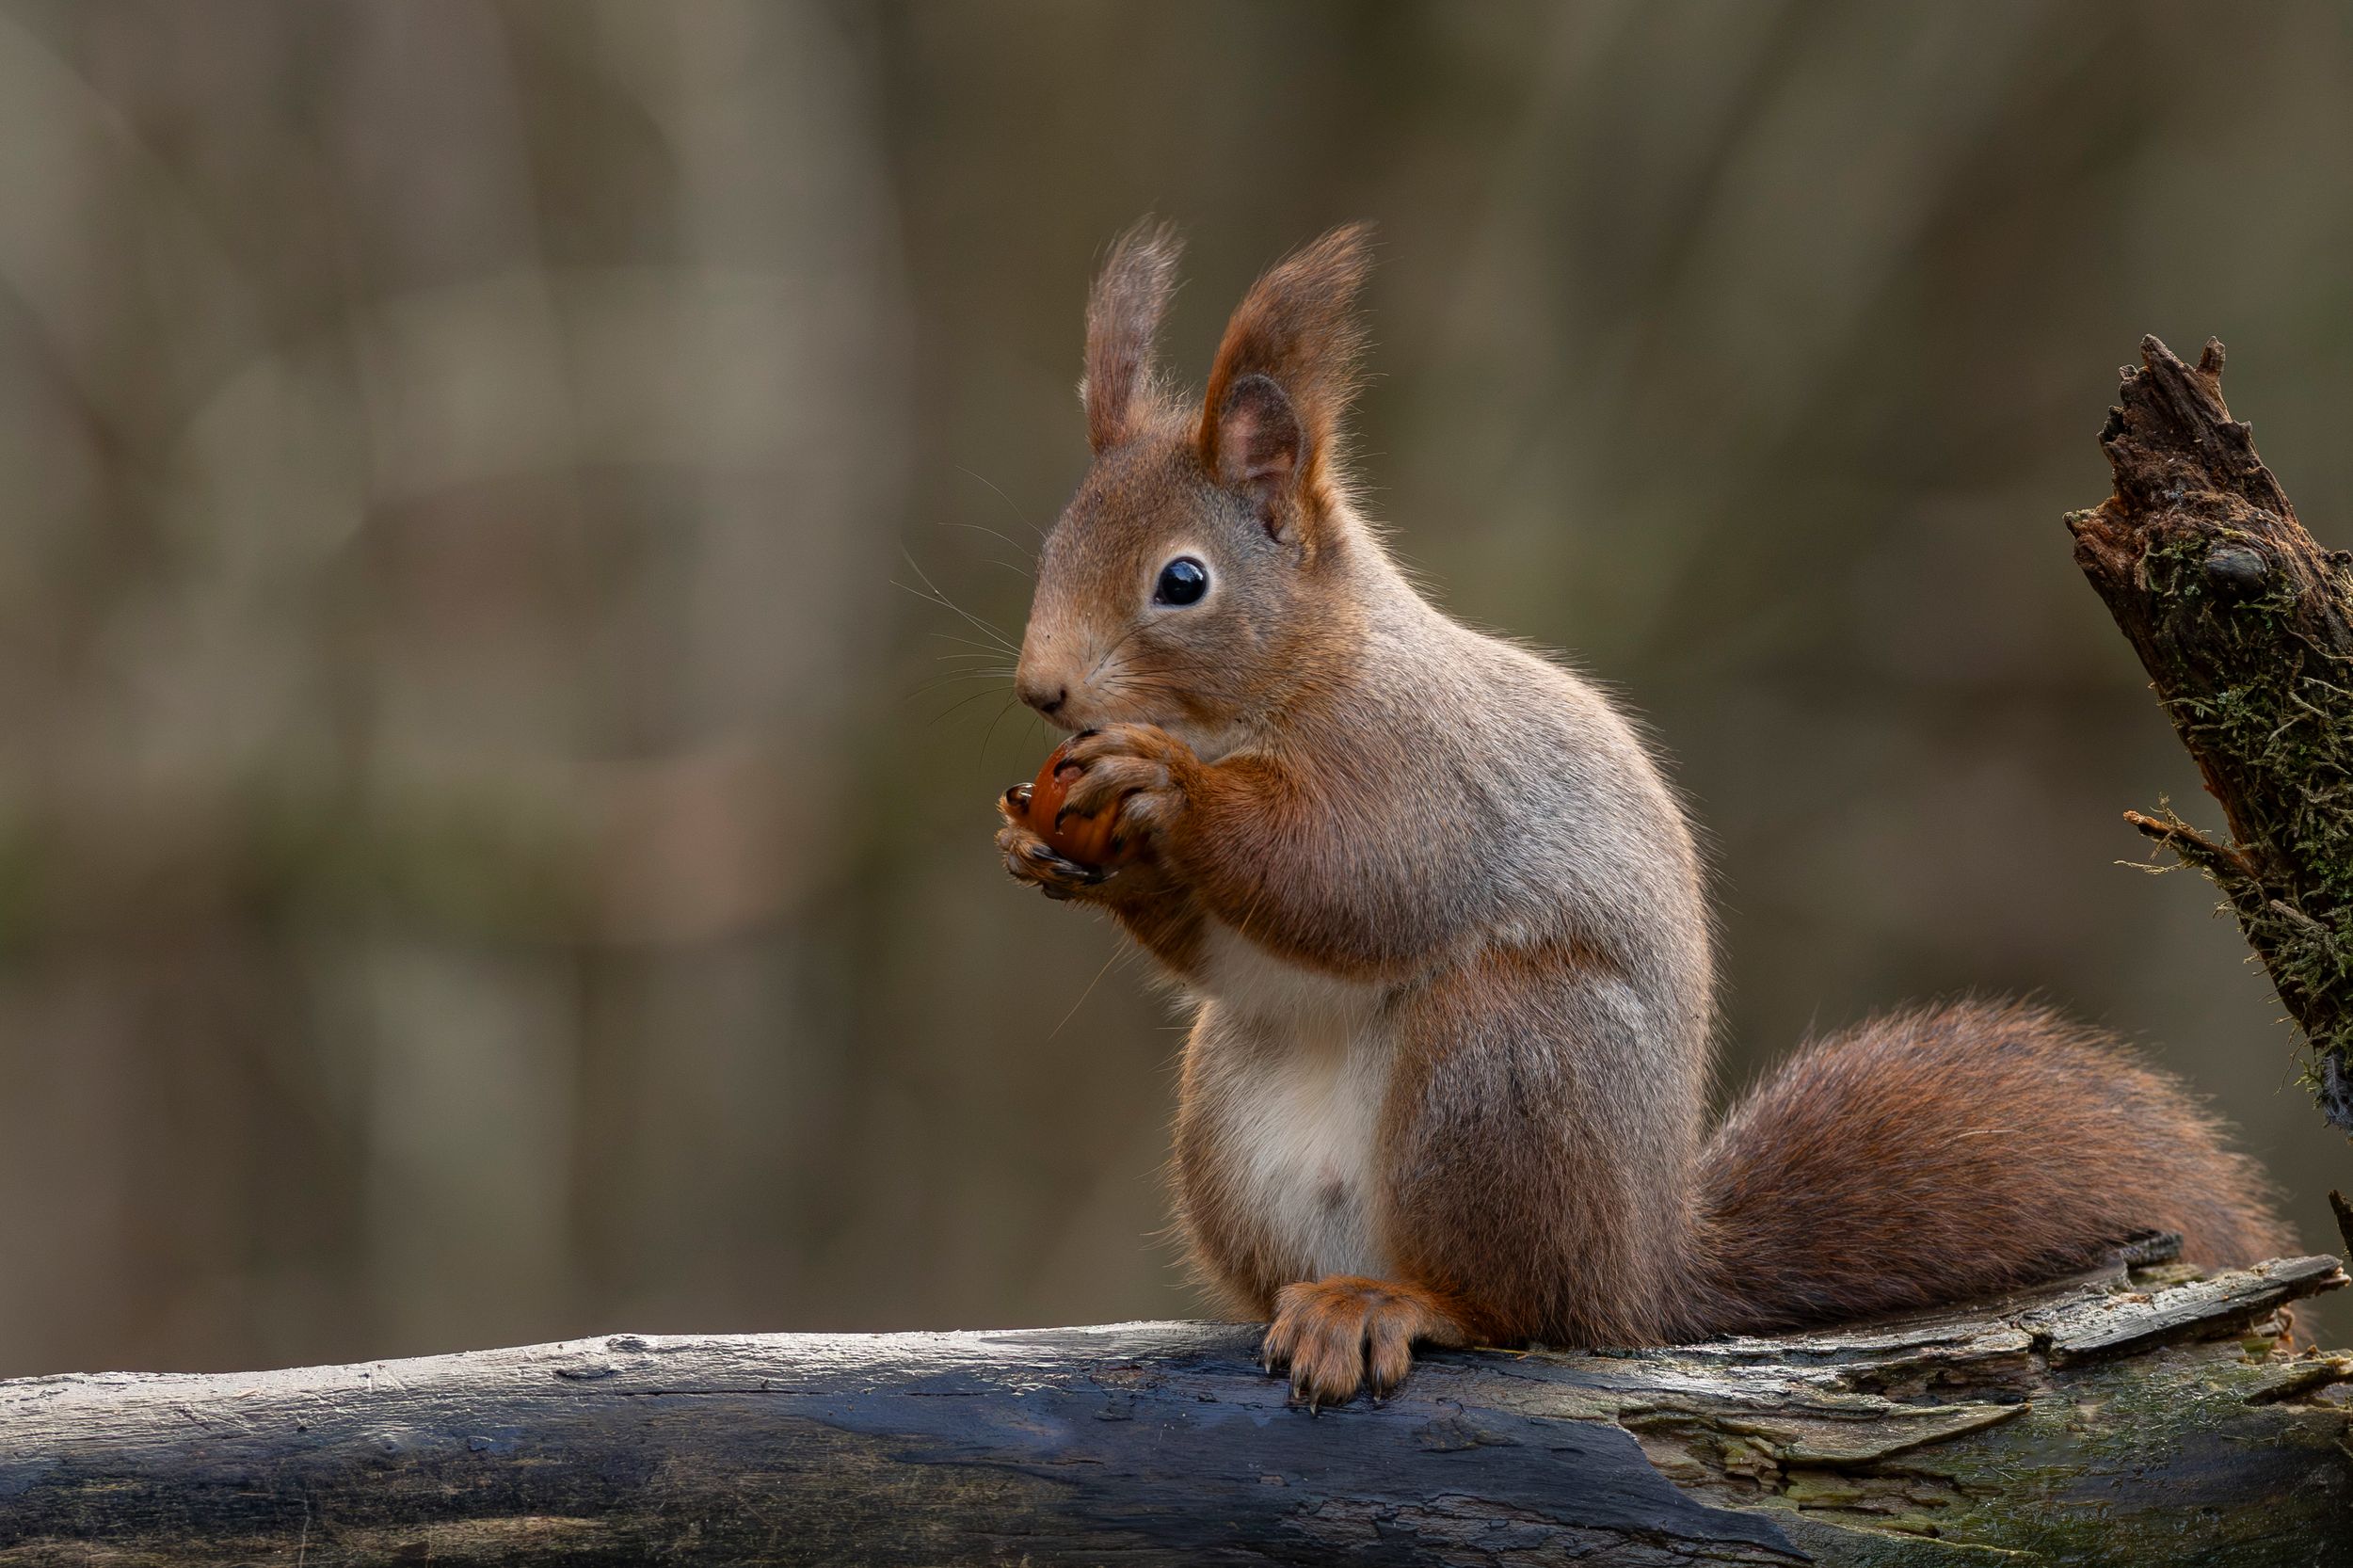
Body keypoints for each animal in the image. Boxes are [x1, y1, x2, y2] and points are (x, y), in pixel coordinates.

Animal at [993, 219, 2293, 1406]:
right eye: (1051, 545)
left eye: (1183, 581)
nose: (1040, 688)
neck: (1290, 682)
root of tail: (1641, 1269)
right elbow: (1218, 945)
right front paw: (1047, 843)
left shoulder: (1428, 767)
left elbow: (1362, 881)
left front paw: (1167, 789)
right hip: (1235, 1110)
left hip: (1507, 1060)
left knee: (1515, 1309)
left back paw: (1387, 1305)